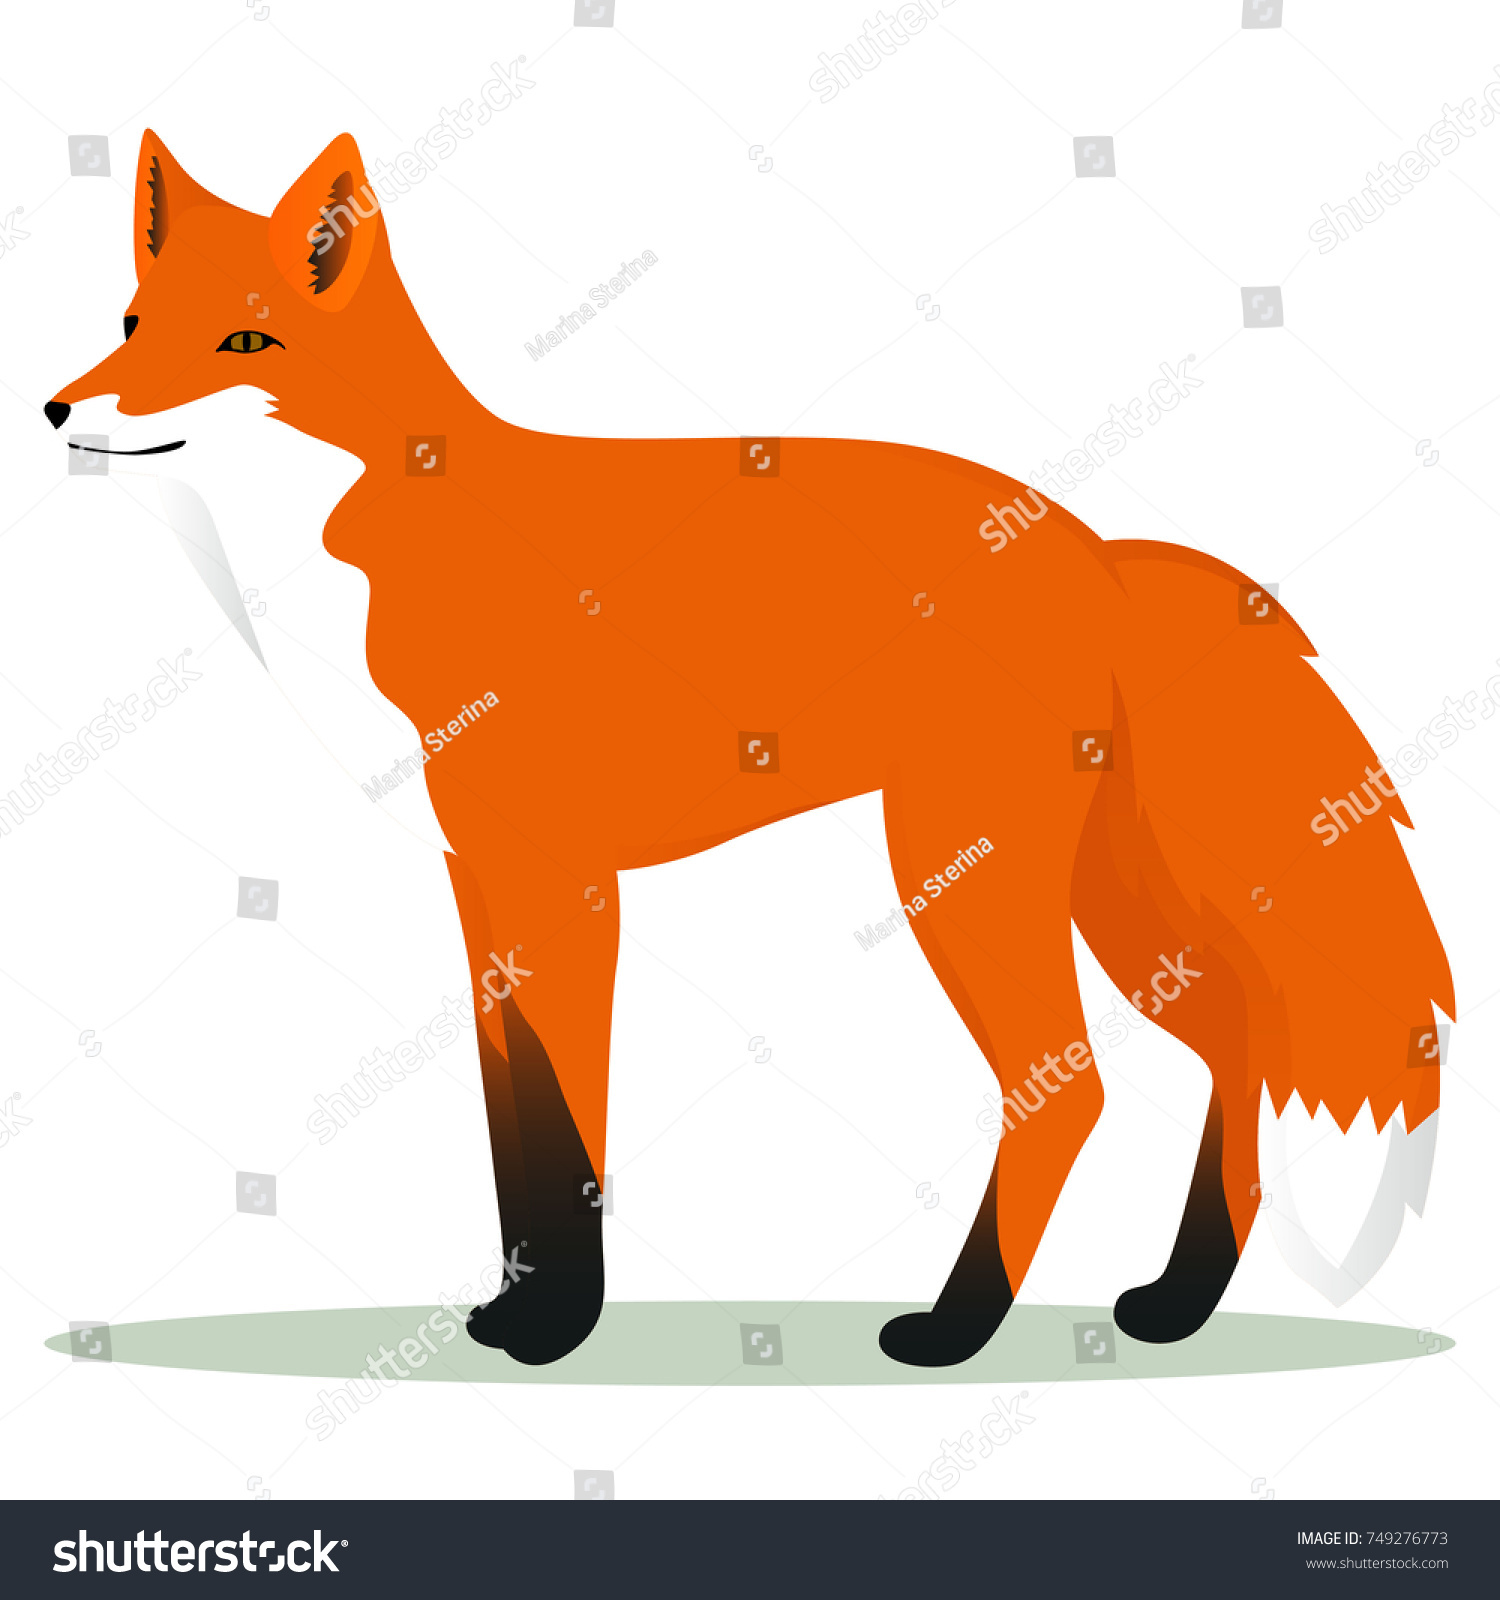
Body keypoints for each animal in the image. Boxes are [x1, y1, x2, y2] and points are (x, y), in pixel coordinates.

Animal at [47, 131, 1453, 1367]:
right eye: (130, 323)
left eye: (244, 342)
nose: (61, 408)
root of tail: (1096, 548)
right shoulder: (479, 875)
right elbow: (513, 1122)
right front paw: (512, 1310)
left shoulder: (560, 877)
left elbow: (570, 1132)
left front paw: (556, 1330)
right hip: (1109, 895)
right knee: (1241, 1042)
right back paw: (1177, 1301)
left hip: (959, 865)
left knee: (1071, 1087)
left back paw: (958, 1330)